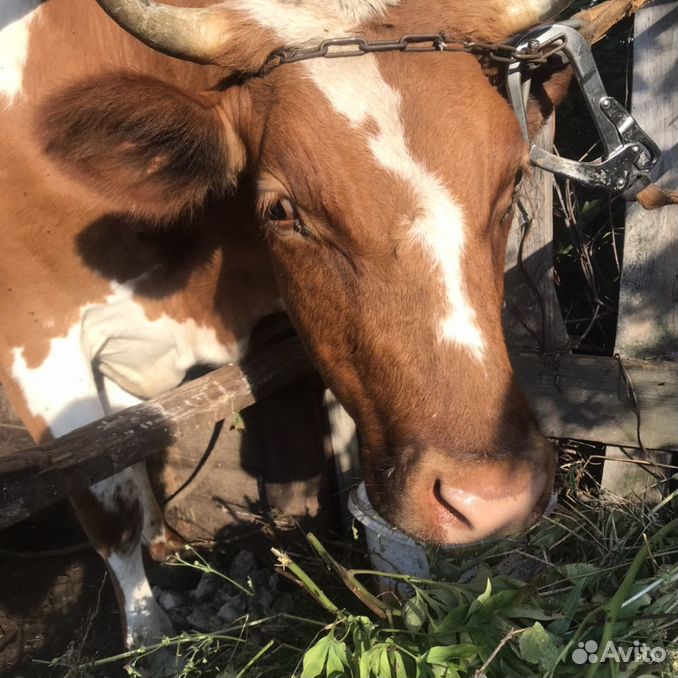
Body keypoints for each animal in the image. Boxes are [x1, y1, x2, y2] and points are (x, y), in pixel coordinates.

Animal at [0, 0, 572, 660]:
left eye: (514, 179)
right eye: (282, 210)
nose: (490, 497)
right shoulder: (40, 351)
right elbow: (107, 500)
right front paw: (150, 641)